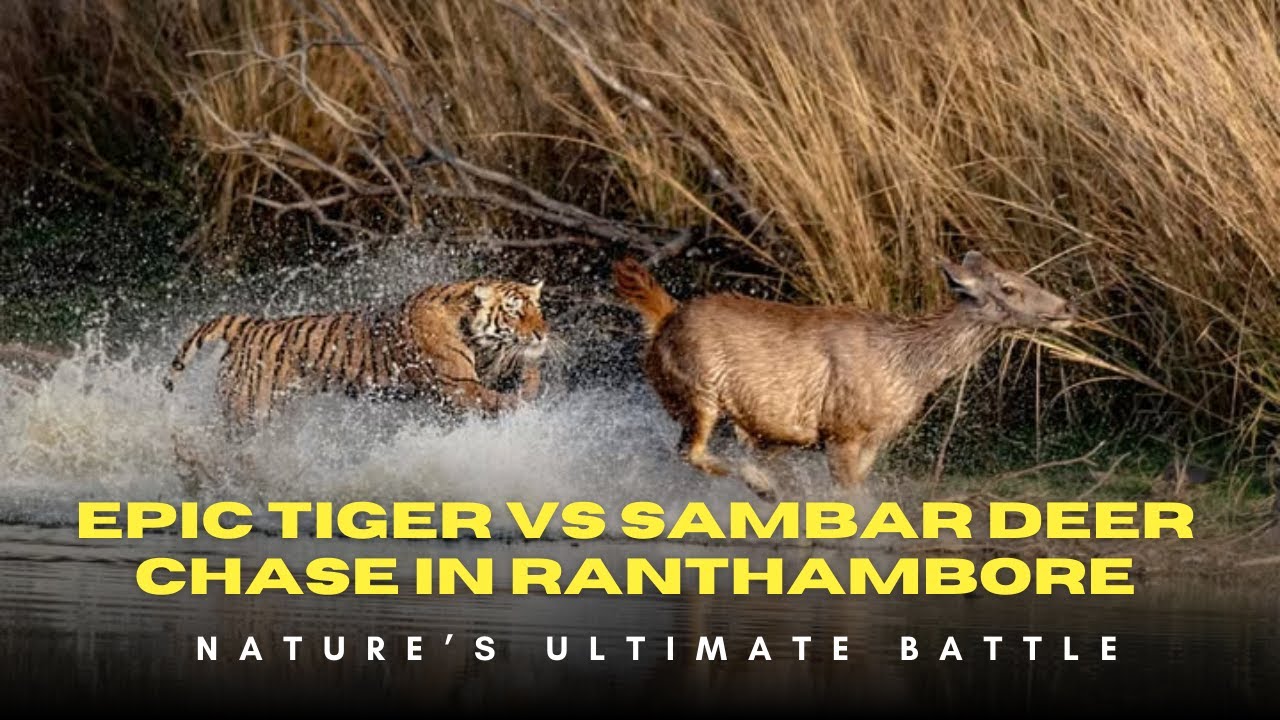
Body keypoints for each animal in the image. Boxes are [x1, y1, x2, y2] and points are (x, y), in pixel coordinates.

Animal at [164, 279, 548, 424]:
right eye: (515, 311)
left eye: (539, 309)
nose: (543, 334)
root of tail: (249, 324)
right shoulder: (458, 385)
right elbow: (494, 399)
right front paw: (524, 409)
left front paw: (530, 385)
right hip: (248, 411)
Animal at [614, 251, 1076, 501]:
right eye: (1009, 288)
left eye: (1023, 278)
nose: (1067, 306)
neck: (909, 367)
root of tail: (665, 318)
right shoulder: (843, 430)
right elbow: (853, 501)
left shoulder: (874, 437)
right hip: (698, 387)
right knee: (689, 451)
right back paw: (763, 487)